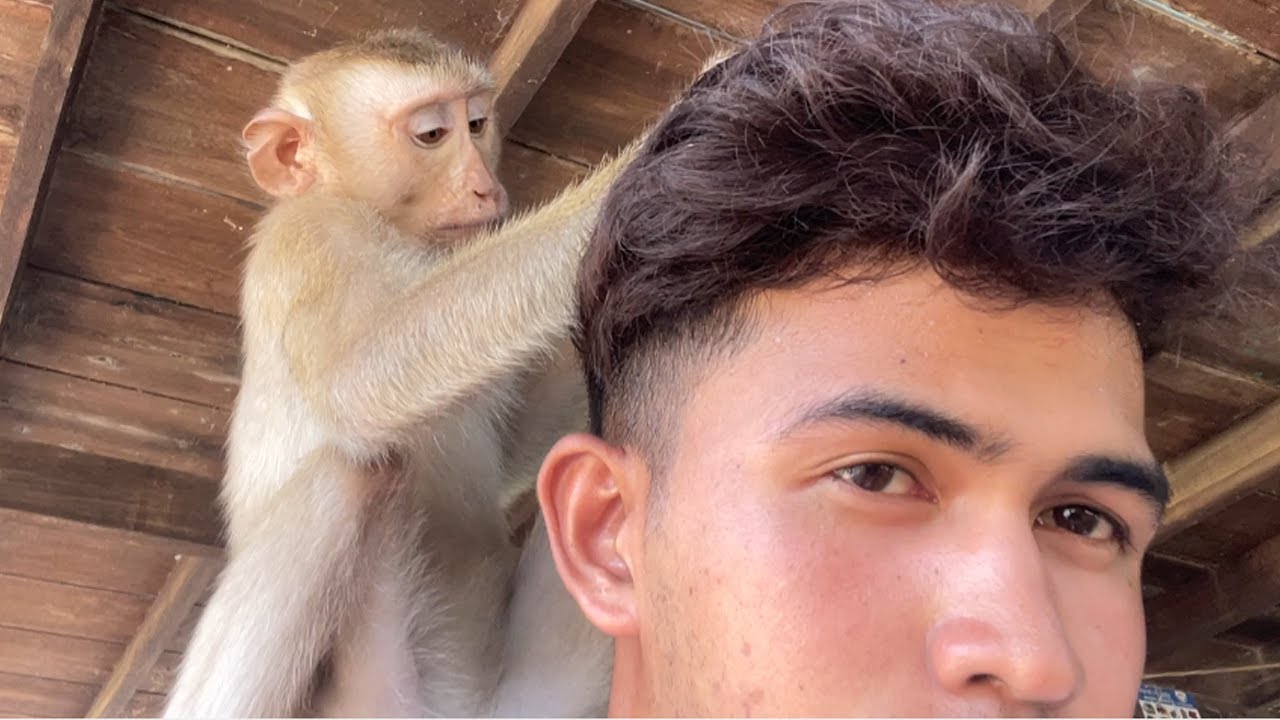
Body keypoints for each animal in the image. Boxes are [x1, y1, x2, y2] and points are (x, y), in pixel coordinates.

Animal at [162, 29, 626, 717]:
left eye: (477, 123)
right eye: (432, 134)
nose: (485, 186)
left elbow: (516, 445)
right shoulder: (308, 241)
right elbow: (358, 375)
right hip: (368, 690)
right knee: (351, 469)